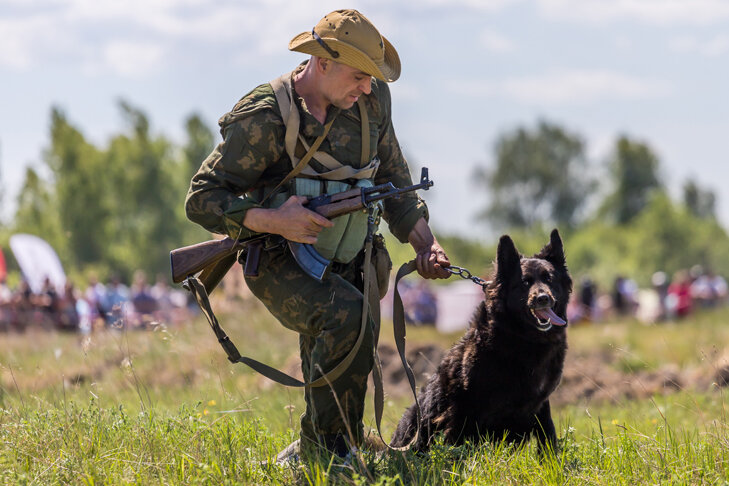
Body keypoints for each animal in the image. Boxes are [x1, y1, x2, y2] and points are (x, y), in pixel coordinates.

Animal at [392, 230, 568, 454]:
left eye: (549, 279)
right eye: (525, 283)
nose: (543, 298)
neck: (522, 337)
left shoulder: (541, 402)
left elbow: (548, 436)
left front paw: (551, 461)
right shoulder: (464, 405)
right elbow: (457, 440)